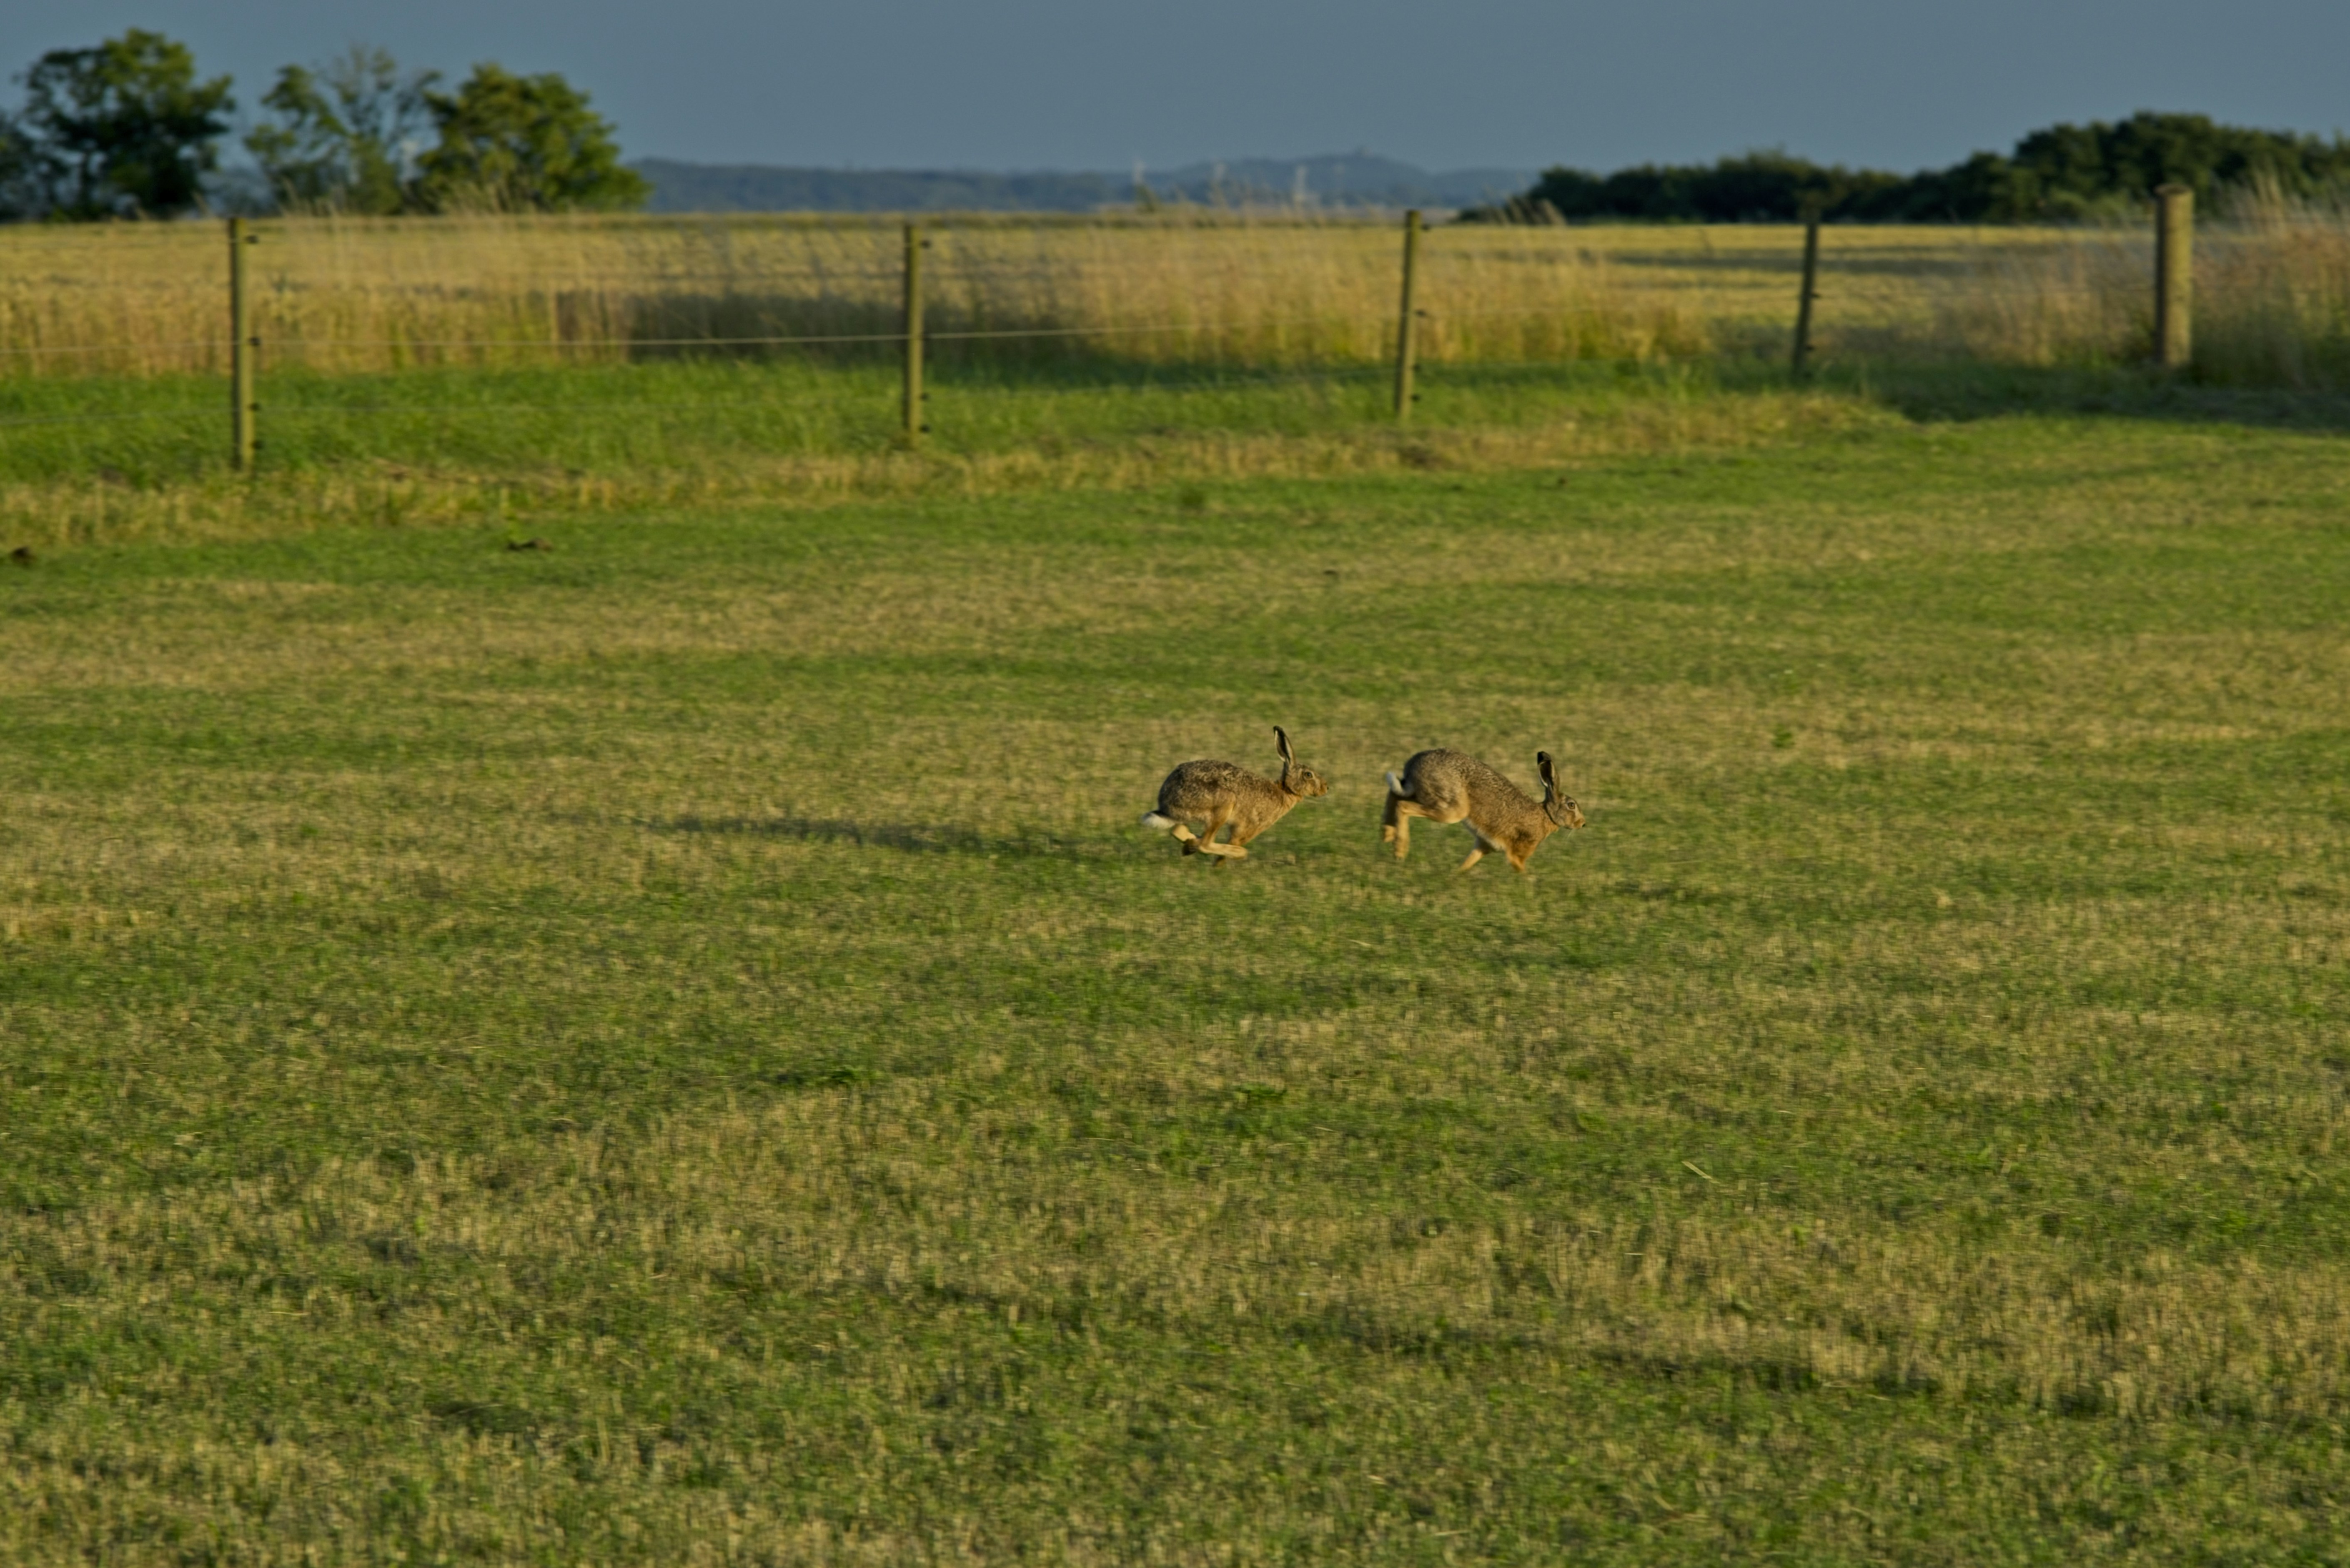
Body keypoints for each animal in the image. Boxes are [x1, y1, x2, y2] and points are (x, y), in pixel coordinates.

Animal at [1141, 726, 1329, 862]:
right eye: (1309, 775)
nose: (1326, 788)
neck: (1285, 789)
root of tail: (1166, 804)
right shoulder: (1248, 828)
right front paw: (1220, 865)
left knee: (1180, 830)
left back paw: (1190, 845)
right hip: (1223, 805)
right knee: (1205, 843)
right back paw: (1235, 852)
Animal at [1382, 748, 1584, 873]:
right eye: (1571, 805)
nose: (1583, 823)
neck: (1547, 816)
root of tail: (1413, 765)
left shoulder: (1484, 845)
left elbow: (1468, 862)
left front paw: (1454, 876)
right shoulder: (1518, 851)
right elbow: (1520, 868)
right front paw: (1530, 884)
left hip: (1426, 795)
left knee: (1395, 794)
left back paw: (1387, 834)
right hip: (1452, 809)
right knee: (1404, 806)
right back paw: (1399, 851)